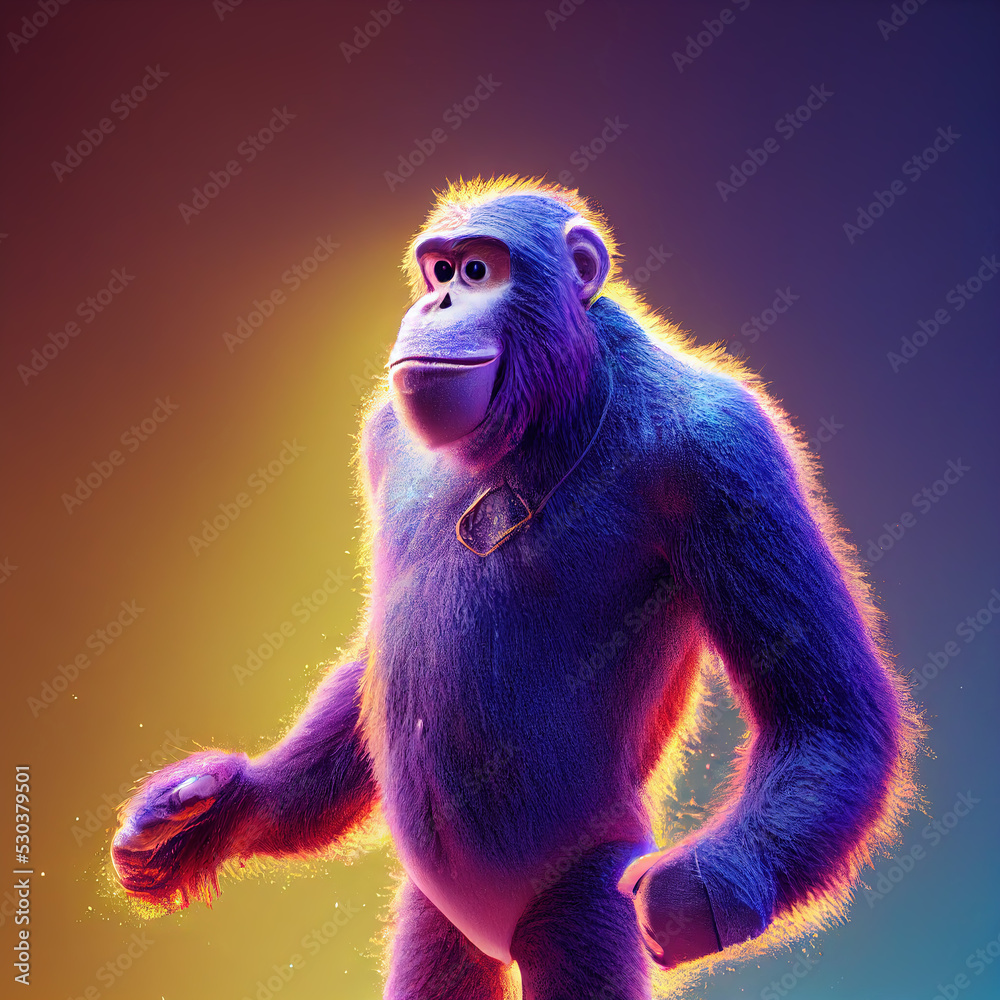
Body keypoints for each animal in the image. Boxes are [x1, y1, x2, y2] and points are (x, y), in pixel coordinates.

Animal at [111, 176, 919, 999]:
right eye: (440, 271)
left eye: (478, 272)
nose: (439, 302)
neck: (543, 419)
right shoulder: (383, 434)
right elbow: (370, 664)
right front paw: (217, 815)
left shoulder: (725, 448)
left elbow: (822, 716)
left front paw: (697, 892)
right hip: (436, 909)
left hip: (582, 891)